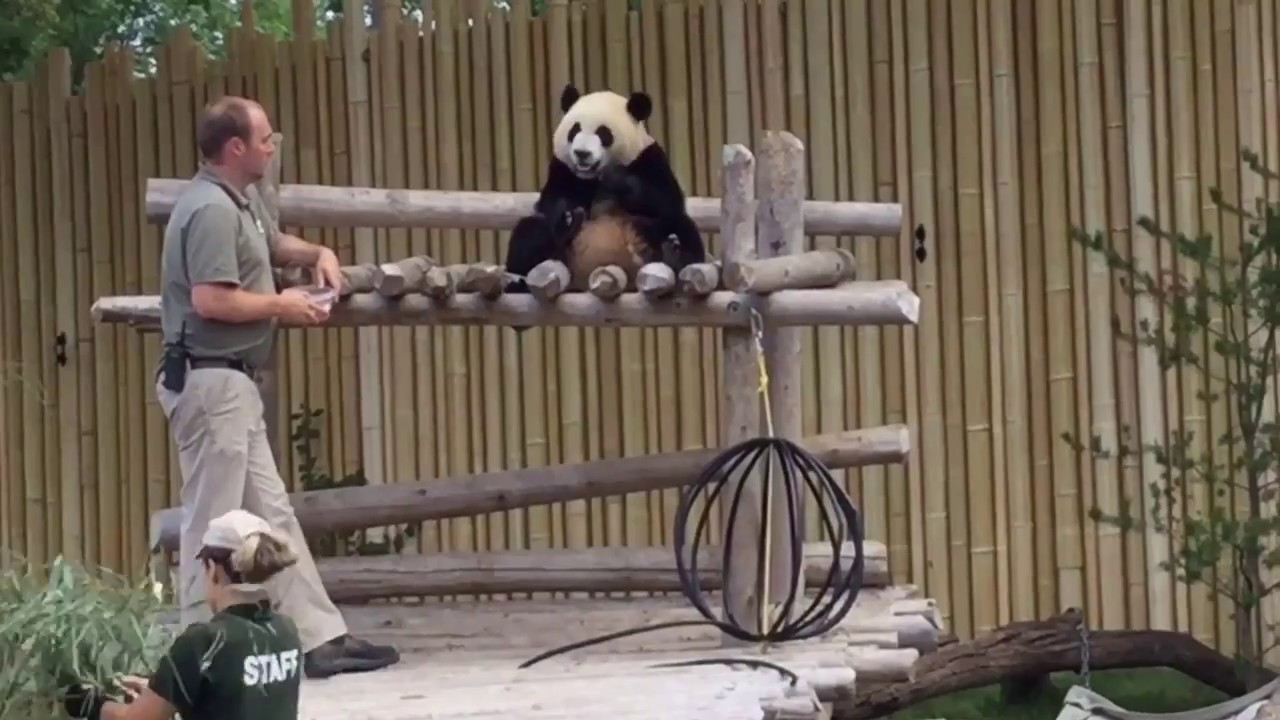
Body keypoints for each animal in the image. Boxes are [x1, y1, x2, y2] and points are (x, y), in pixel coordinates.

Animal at [503, 83, 705, 293]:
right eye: (574, 130)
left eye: (603, 133)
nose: (582, 153)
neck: (592, 175)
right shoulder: (562, 168)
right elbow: (551, 200)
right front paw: (567, 219)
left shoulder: (649, 157)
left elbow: (667, 201)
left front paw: (615, 177)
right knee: (531, 231)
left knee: (681, 228)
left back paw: (673, 253)